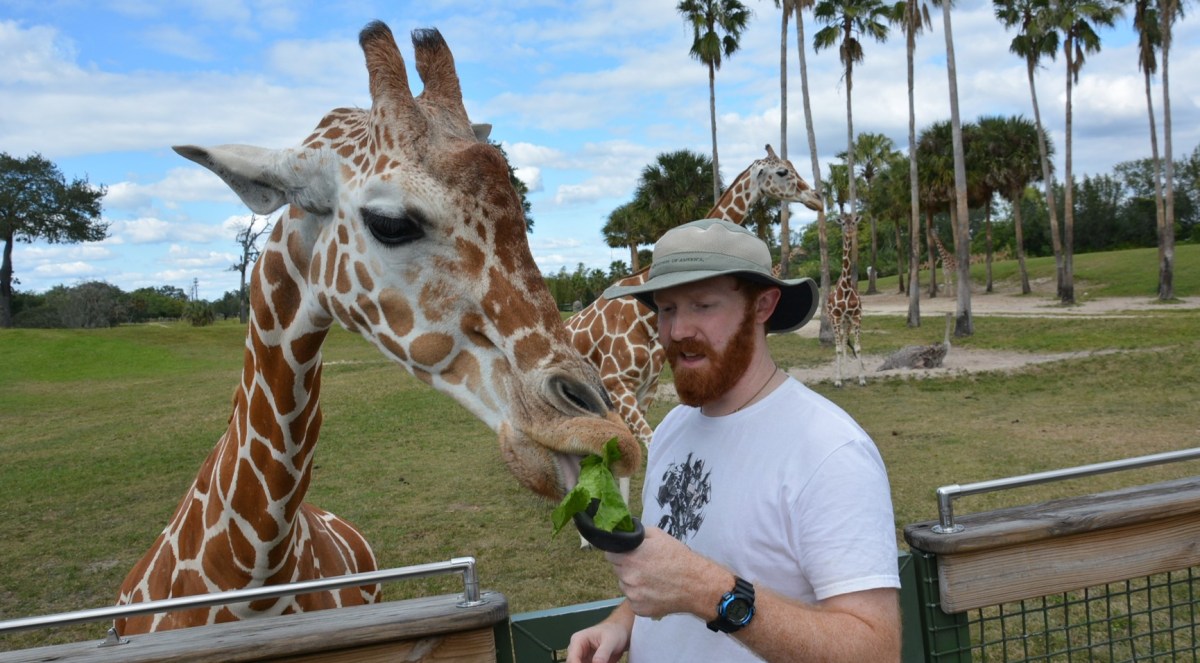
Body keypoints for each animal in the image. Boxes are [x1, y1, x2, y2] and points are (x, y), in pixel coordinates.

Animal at [565, 145, 823, 537]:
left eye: (792, 165)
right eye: (782, 172)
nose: (817, 198)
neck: (644, 317)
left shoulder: (644, 390)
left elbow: (633, 451)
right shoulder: (618, 384)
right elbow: (645, 446)